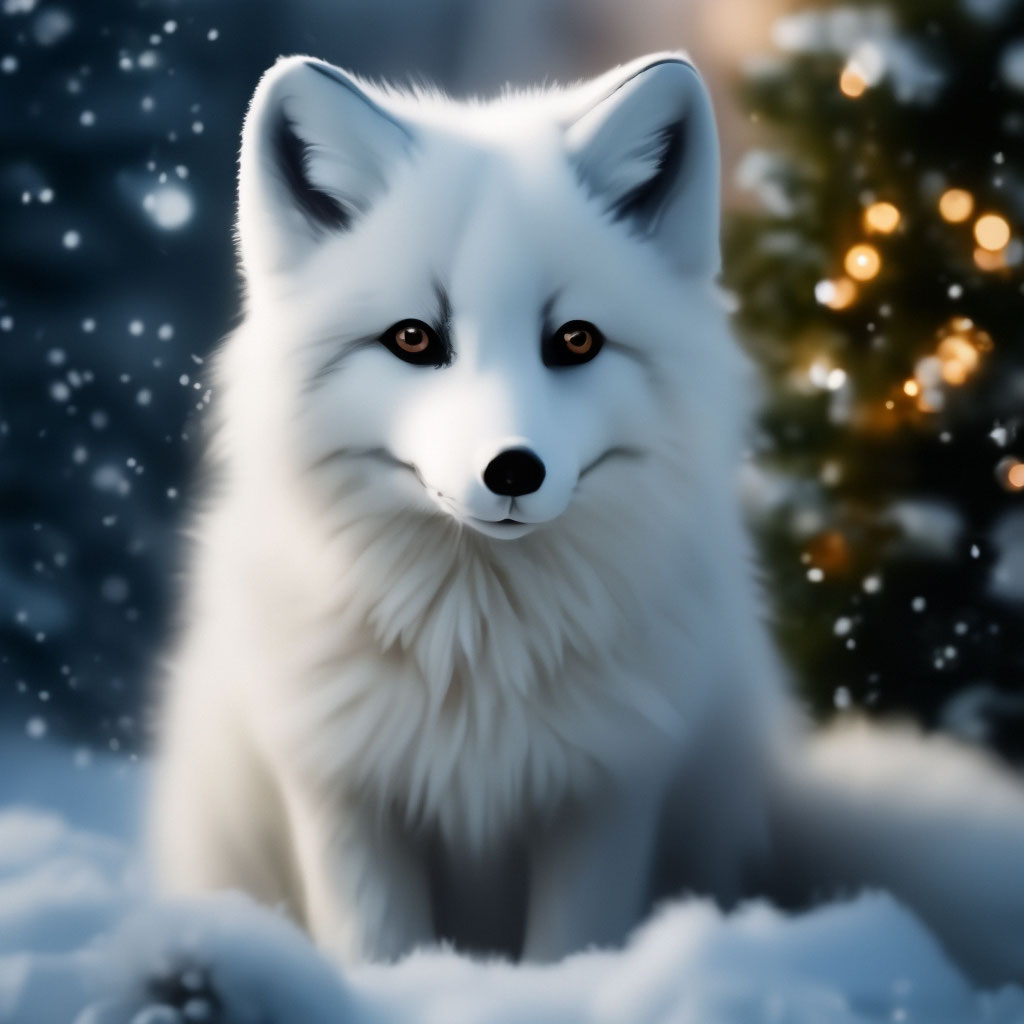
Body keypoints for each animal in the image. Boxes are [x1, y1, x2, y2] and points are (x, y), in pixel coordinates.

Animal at [150, 52, 1024, 984]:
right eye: (414, 339)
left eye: (574, 341)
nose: (513, 469)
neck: (480, 650)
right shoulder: (340, 793)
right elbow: (376, 953)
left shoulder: (607, 793)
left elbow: (572, 950)